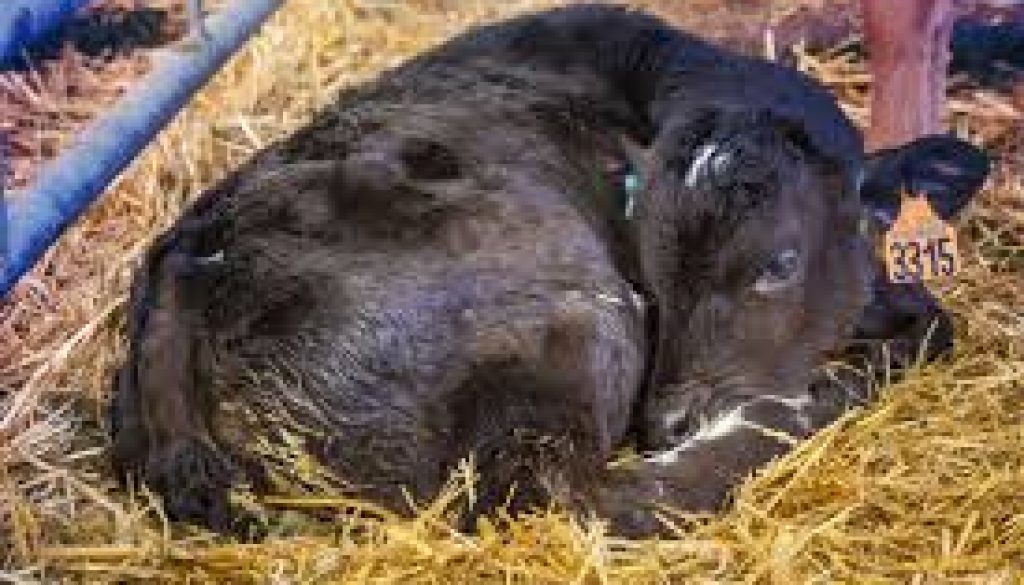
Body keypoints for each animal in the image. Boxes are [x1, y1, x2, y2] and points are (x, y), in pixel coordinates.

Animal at [109, 5, 990, 537]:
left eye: (780, 262)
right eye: (653, 270)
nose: (667, 420)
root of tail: (185, 276)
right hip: (576, 318)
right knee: (580, 498)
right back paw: (816, 402)